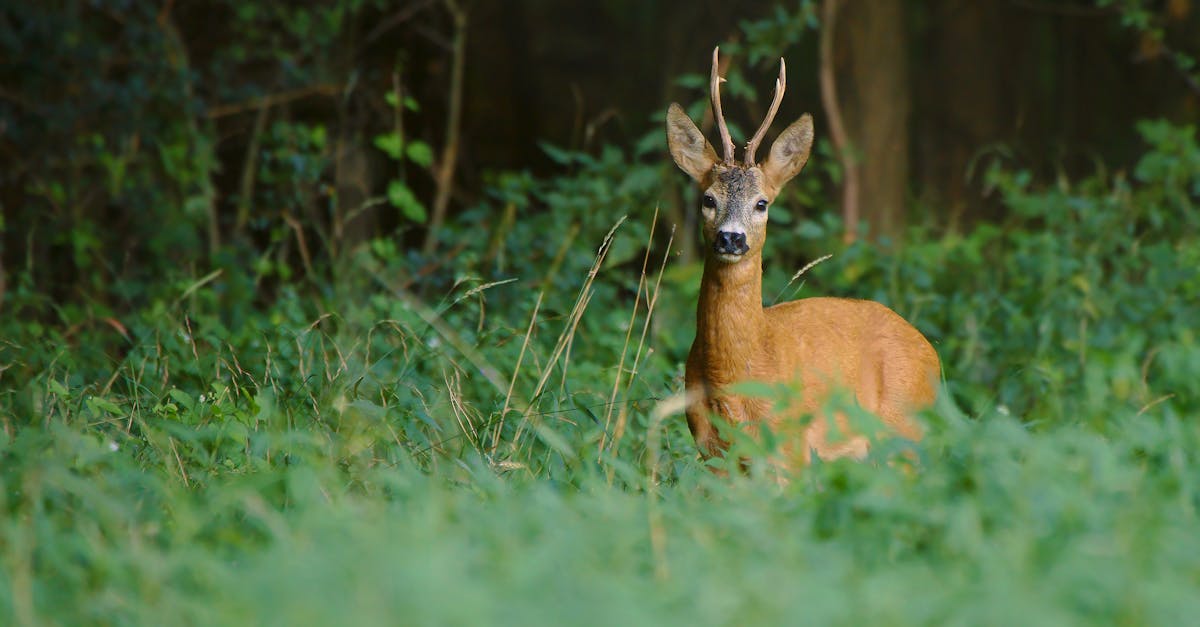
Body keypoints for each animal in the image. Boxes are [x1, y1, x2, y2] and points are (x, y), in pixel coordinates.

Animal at [667, 50, 936, 468]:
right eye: (708, 199)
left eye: (762, 203)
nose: (731, 237)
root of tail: (933, 355)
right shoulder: (710, 450)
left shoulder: (789, 448)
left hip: (905, 433)